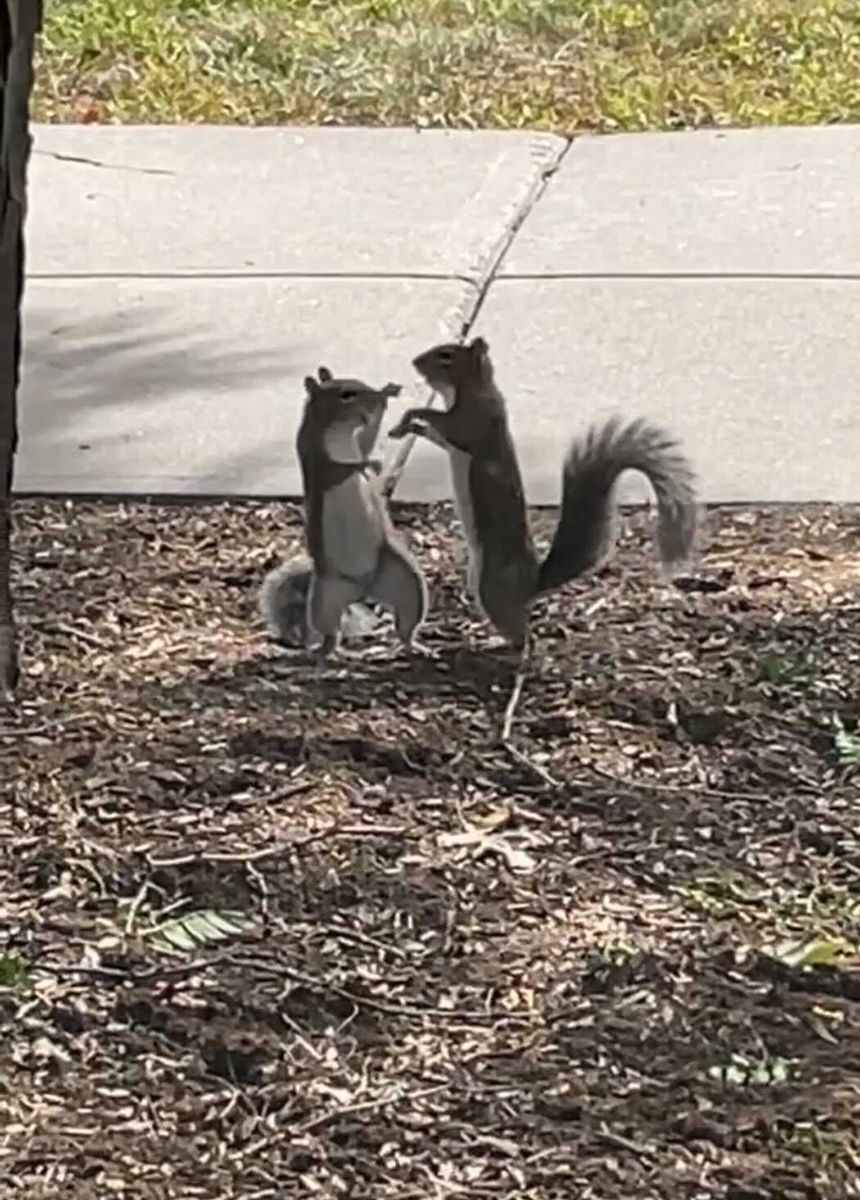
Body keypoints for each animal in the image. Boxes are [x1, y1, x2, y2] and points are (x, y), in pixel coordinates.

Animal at [259, 366, 428, 657]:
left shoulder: (358, 443)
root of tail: (363, 591)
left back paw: (413, 646)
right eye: (346, 395)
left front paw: (386, 394)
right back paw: (323, 653)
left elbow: (368, 442)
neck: (339, 431)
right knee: (330, 633)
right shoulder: (317, 461)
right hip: (326, 597)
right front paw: (366, 465)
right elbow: (341, 469)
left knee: (406, 624)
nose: (373, 400)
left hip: (405, 582)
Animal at [387, 336, 697, 654]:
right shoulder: (453, 438)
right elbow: (437, 436)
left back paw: (496, 642)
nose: (415, 361)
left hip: (491, 586)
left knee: (521, 635)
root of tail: (531, 586)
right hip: (477, 577)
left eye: (446, 356)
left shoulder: (471, 421)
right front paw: (405, 427)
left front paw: (412, 416)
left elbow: (444, 423)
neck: (474, 387)